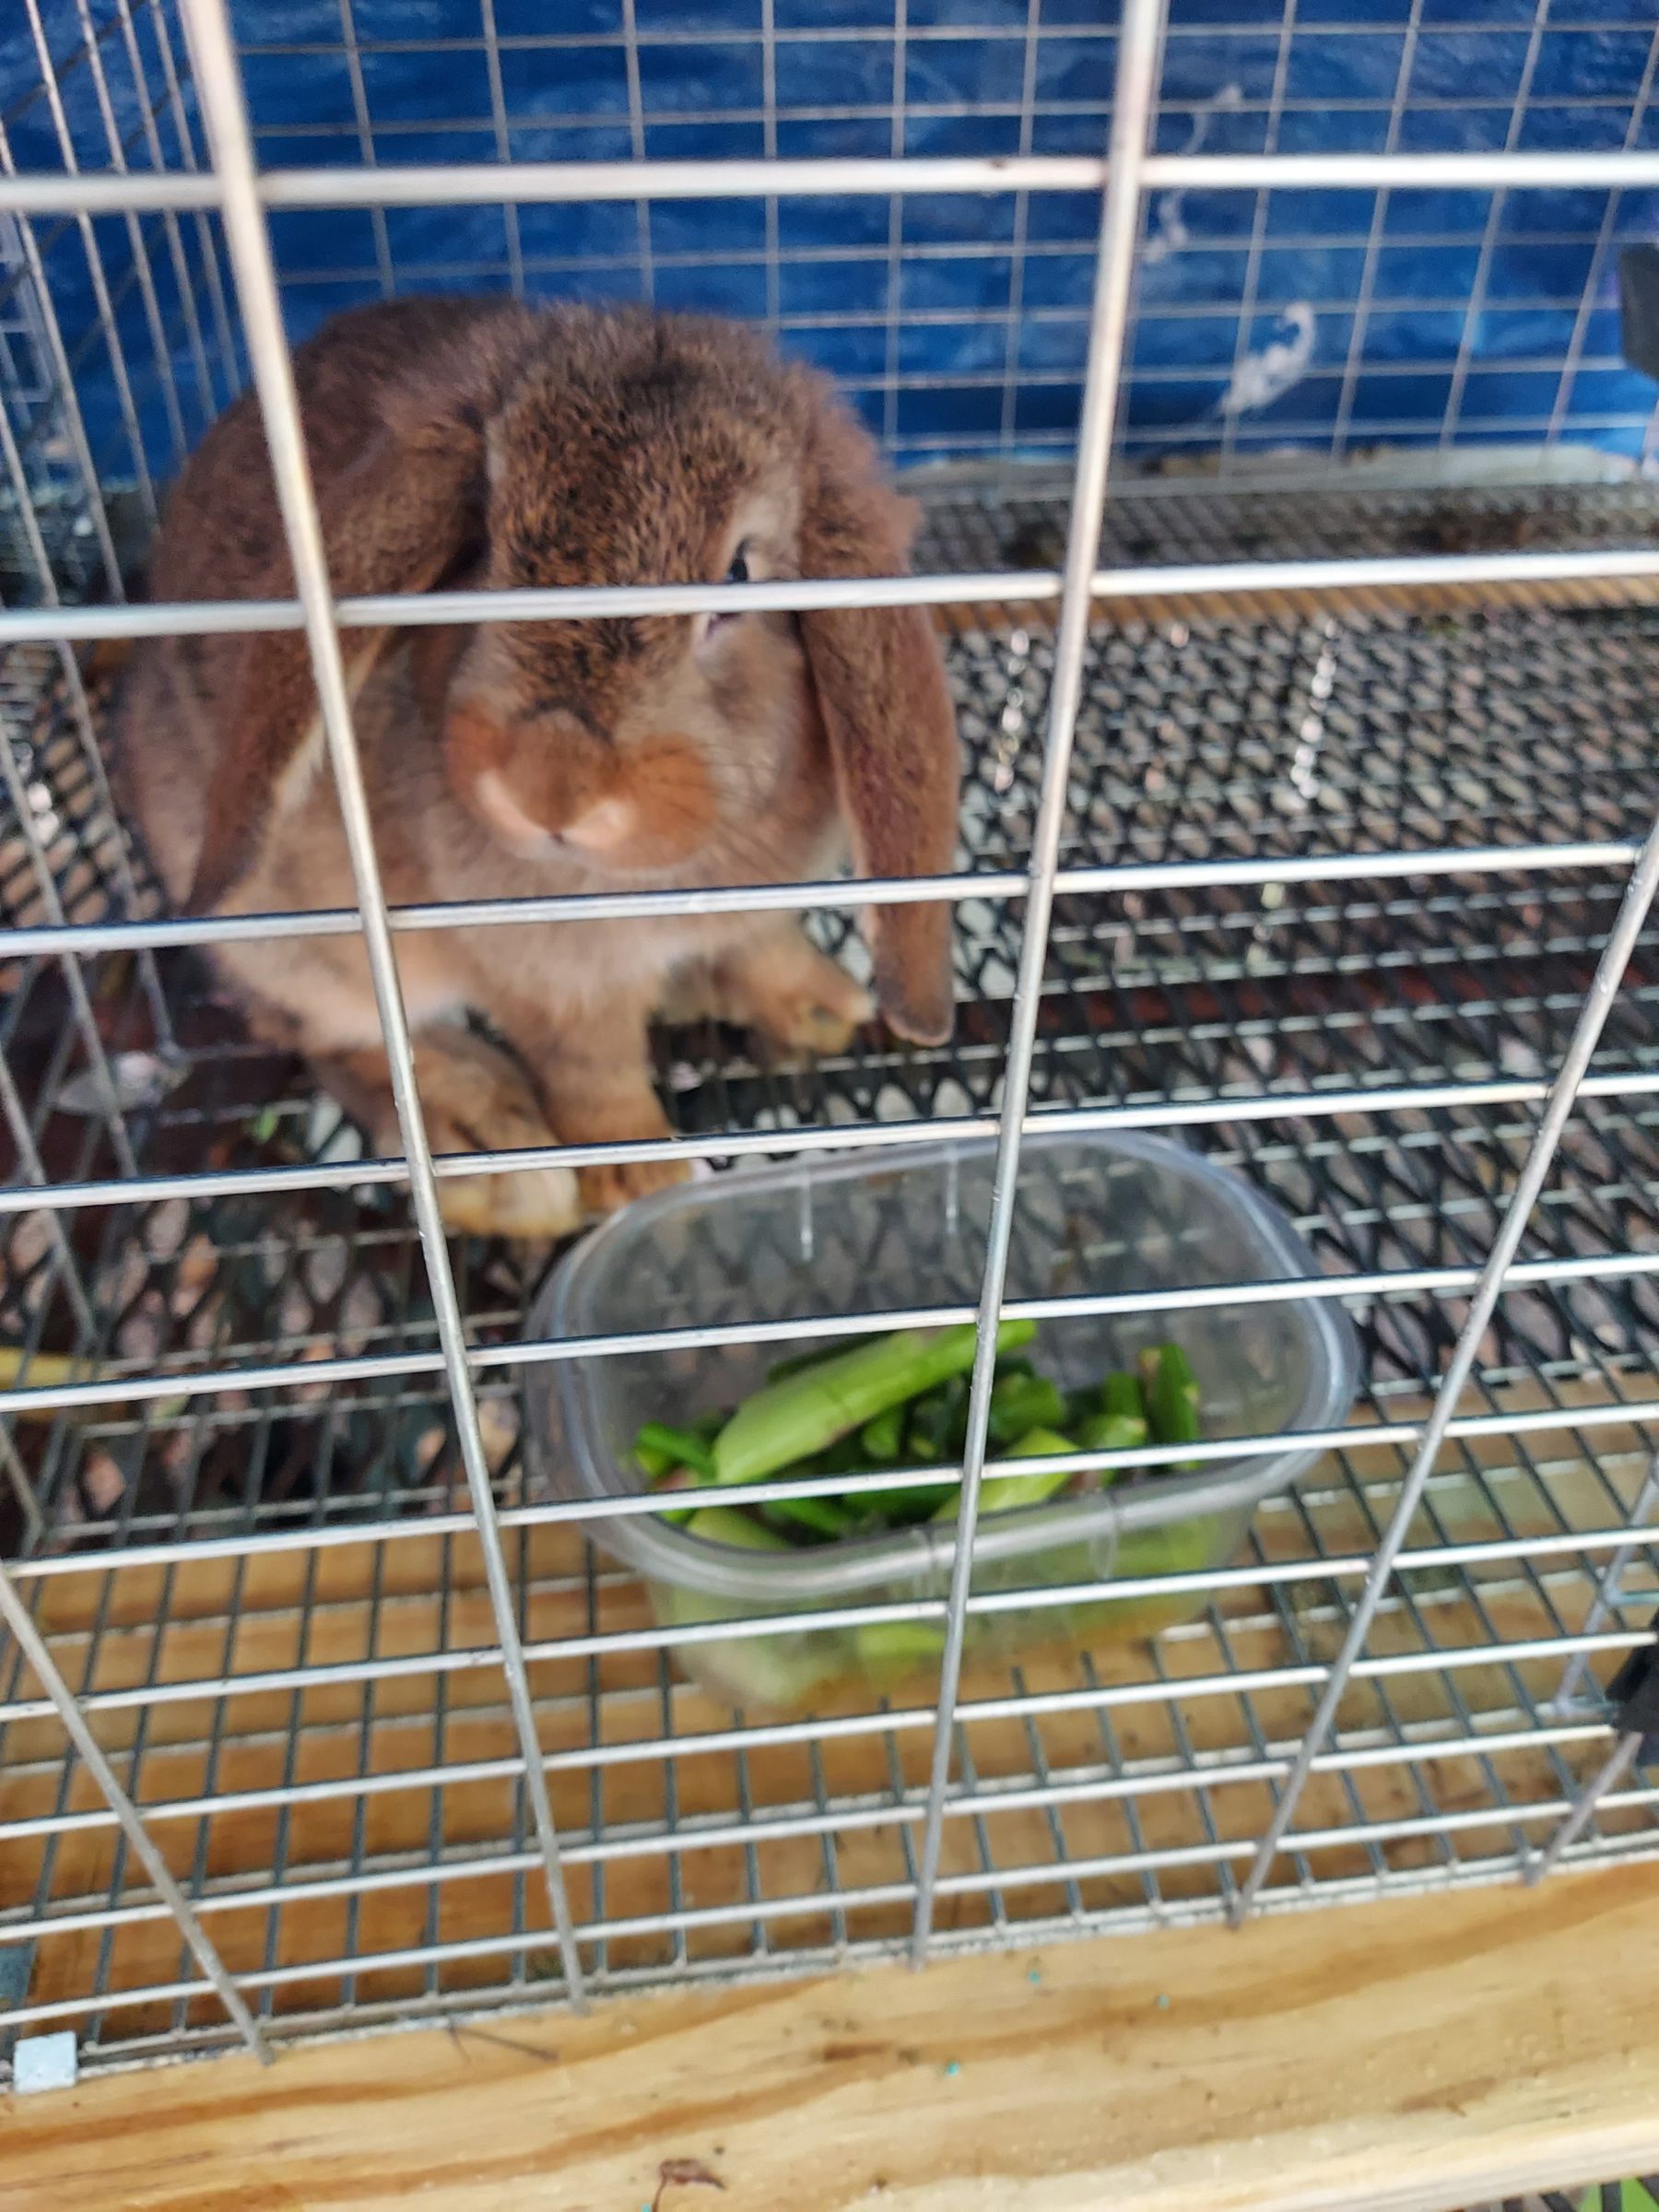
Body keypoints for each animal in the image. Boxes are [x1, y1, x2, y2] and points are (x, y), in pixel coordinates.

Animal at [114, 295, 962, 1238]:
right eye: (483, 545)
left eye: (740, 576)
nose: (547, 787)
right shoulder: (546, 976)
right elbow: (590, 1067)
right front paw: (640, 1179)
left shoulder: (752, 913)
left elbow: (762, 946)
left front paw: (821, 1006)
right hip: (303, 943)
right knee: (341, 1039)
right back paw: (487, 1145)